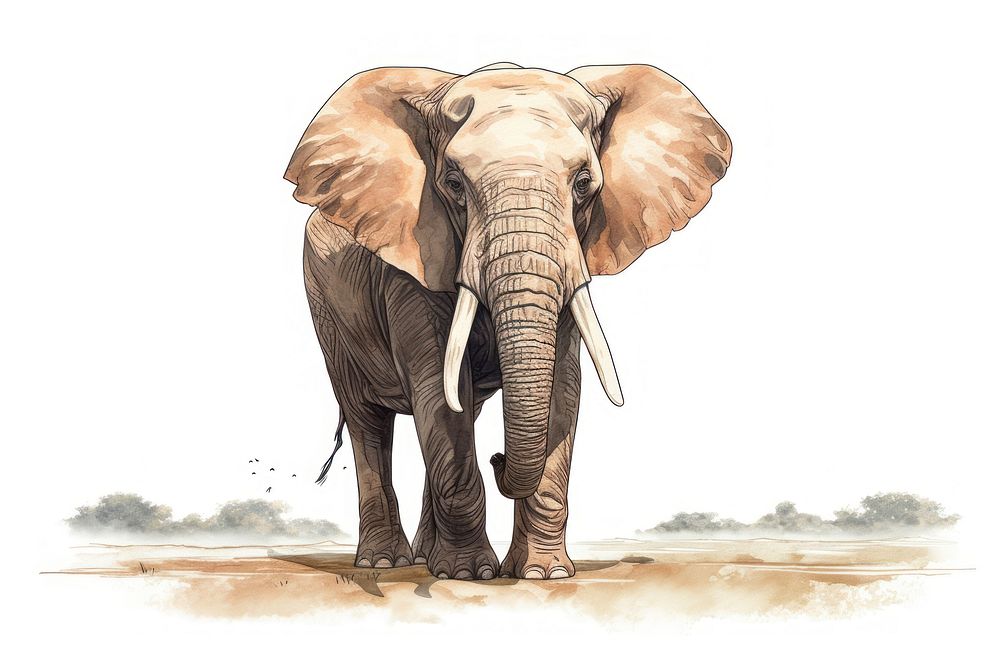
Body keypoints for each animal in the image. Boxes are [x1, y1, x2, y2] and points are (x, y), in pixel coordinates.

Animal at [285, 62, 730, 580]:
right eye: (454, 183)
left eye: (584, 183)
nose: (498, 457)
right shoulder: (413, 260)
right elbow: (438, 388)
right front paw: (467, 575)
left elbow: (561, 386)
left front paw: (541, 574)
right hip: (326, 309)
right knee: (368, 422)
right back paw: (386, 562)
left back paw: (424, 559)